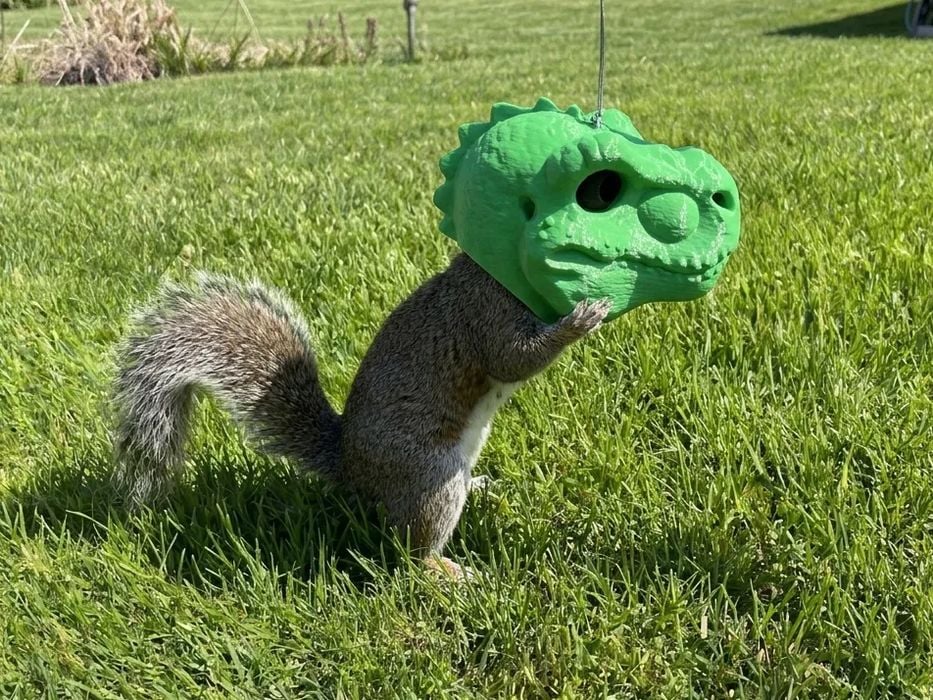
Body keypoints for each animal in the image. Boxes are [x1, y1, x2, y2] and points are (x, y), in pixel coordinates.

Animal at [113, 253, 611, 577]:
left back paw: (482, 487)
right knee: (412, 551)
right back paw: (446, 571)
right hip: (430, 476)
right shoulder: (485, 311)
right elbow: (513, 359)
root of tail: (350, 469)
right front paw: (579, 321)